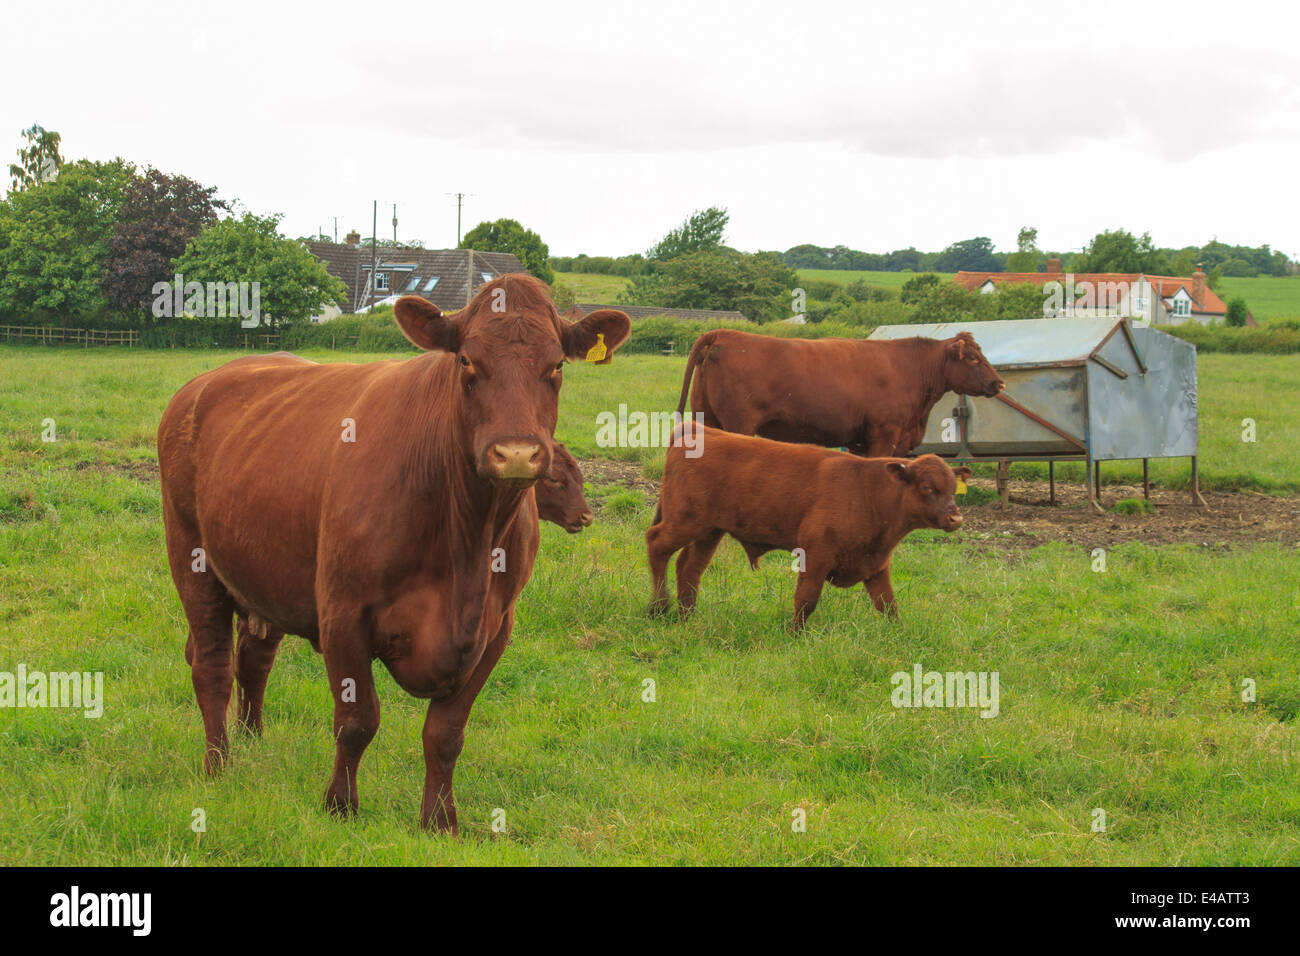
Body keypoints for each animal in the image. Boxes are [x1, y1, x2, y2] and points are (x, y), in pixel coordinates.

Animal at [158, 274, 629, 833]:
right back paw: (220, 764)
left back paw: (255, 743)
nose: (515, 453)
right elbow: (358, 721)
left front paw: (440, 820)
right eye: (466, 360)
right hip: (191, 556)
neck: (468, 539)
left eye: (556, 364)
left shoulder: (496, 627)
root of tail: (202, 384)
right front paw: (340, 805)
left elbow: (445, 734)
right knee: (212, 664)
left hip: (263, 574)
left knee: (254, 659)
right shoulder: (343, 613)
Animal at [645, 424, 971, 630]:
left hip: (709, 531)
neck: (868, 492)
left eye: (953, 489)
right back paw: (659, 608)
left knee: (689, 568)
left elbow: (888, 606)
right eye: (927, 487)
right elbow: (806, 600)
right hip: (684, 521)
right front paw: (794, 636)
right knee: (656, 545)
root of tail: (699, 429)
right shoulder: (815, 556)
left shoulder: (876, 565)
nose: (956, 519)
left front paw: (899, 636)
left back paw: (688, 616)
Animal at [675, 329, 1004, 457]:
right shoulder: (885, 434)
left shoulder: (862, 441)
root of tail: (724, 334)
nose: (999, 383)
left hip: (706, 417)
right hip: (738, 423)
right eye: (972, 358)